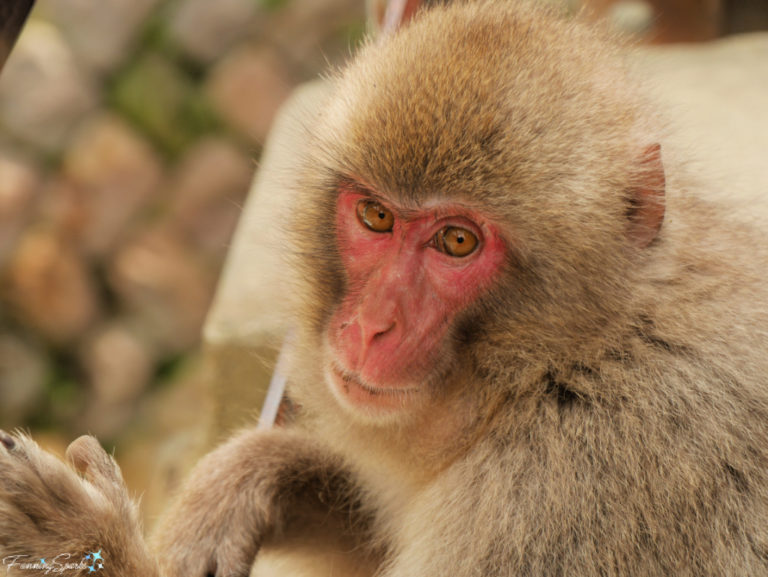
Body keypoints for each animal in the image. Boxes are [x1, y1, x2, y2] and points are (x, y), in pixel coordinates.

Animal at [2, 1, 768, 576]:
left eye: (457, 241)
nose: (371, 325)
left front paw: (79, 542)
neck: (571, 356)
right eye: (376, 216)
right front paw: (250, 473)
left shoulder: (562, 489)